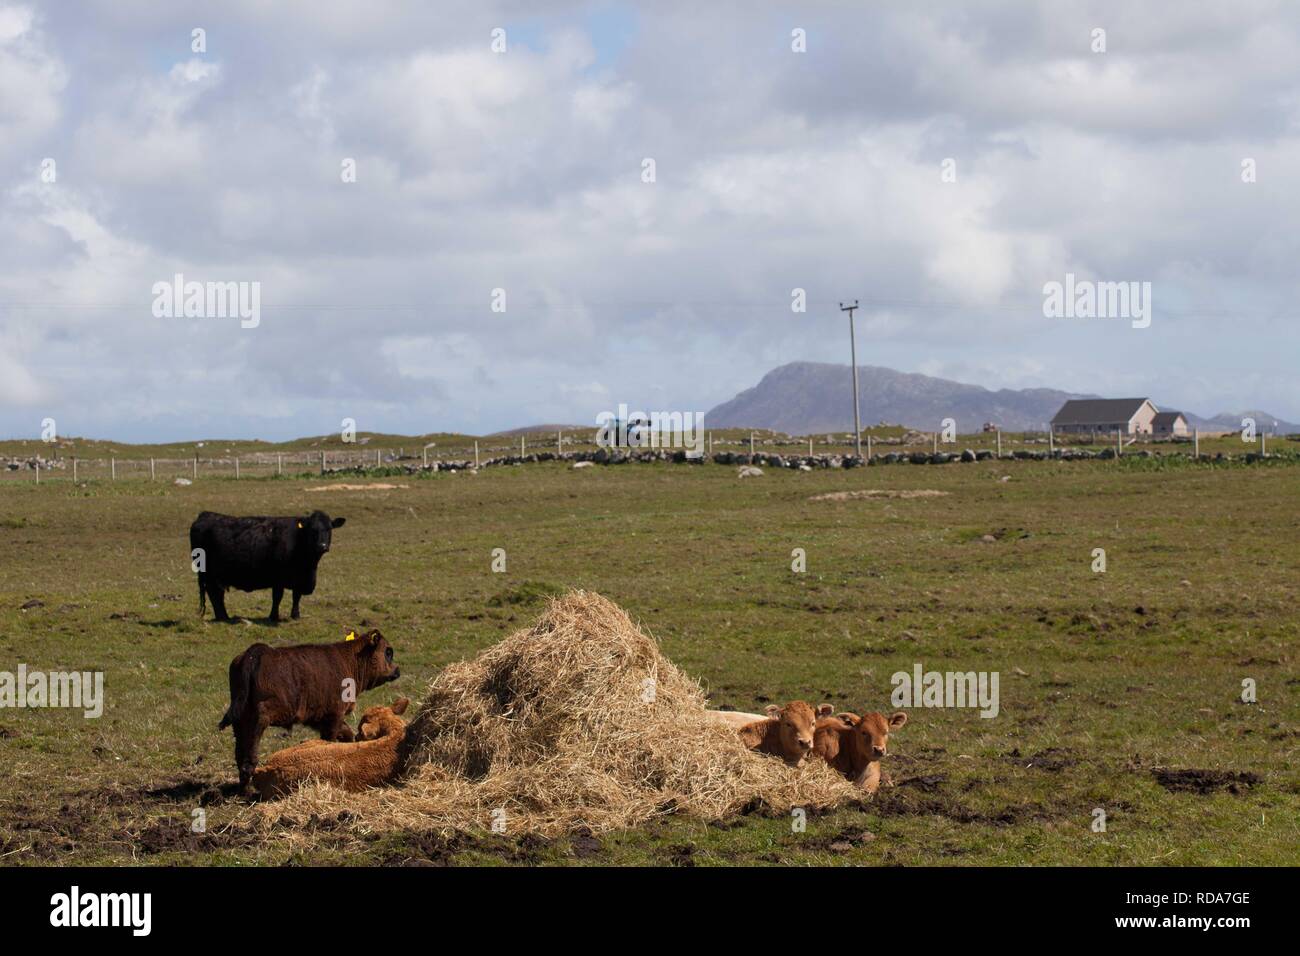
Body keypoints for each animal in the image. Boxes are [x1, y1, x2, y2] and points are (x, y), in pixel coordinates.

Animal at [190, 510, 346, 622]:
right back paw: (223, 617)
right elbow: (277, 597)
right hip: (209, 574)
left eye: (329, 529)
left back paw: (223, 616)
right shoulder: (278, 578)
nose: (322, 546)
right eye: (313, 530)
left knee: (217, 594)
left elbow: (296, 596)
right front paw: (273, 616)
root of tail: (205, 515)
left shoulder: (299, 580)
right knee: (214, 593)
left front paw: (295, 615)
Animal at [217, 629, 400, 795]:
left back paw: (242, 789)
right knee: (250, 753)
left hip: (240, 720)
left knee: (240, 752)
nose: (397, 671)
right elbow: (332, 739)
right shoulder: (334, 716)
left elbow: (347, 734)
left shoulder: (321, 719)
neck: (349, 659)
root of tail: (256, 652)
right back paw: (248, 790)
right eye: (388, 651)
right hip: (263, 717)